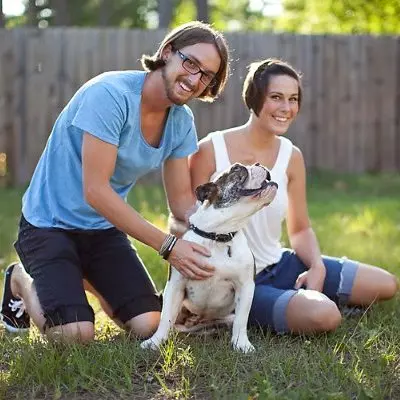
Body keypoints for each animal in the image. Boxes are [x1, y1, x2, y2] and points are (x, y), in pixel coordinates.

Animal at [141, 162, 278, 354]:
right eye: (237, 168)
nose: (258, 164)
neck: (218, 236)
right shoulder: (175, 284)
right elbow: (165, 317)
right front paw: (155, 342)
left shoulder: (245, 286)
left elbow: (241, 320)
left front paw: (242, 344)